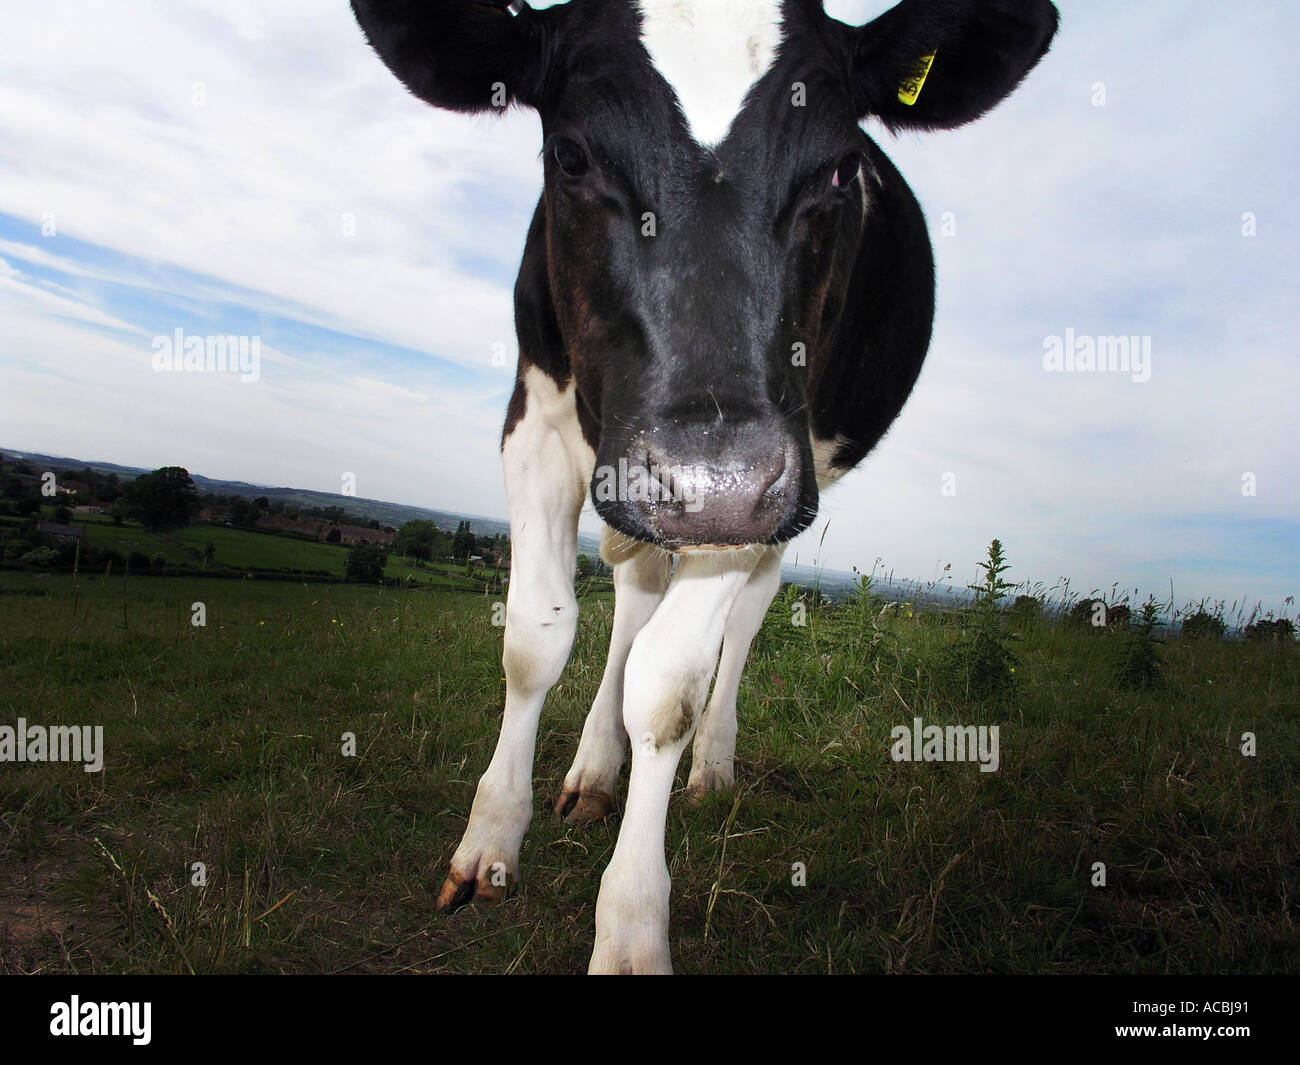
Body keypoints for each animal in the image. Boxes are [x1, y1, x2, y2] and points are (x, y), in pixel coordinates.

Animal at [352, 0, 1058, 973]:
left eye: (841, 170)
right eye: (571, 155)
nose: (709, 479)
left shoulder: (770, 481)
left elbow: (669, 685)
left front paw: (630, 924)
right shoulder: (533, 414)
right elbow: (536, 639)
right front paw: (491, 839)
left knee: (745, 608)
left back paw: (711, 765)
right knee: (635, 587)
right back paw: (593, 768)